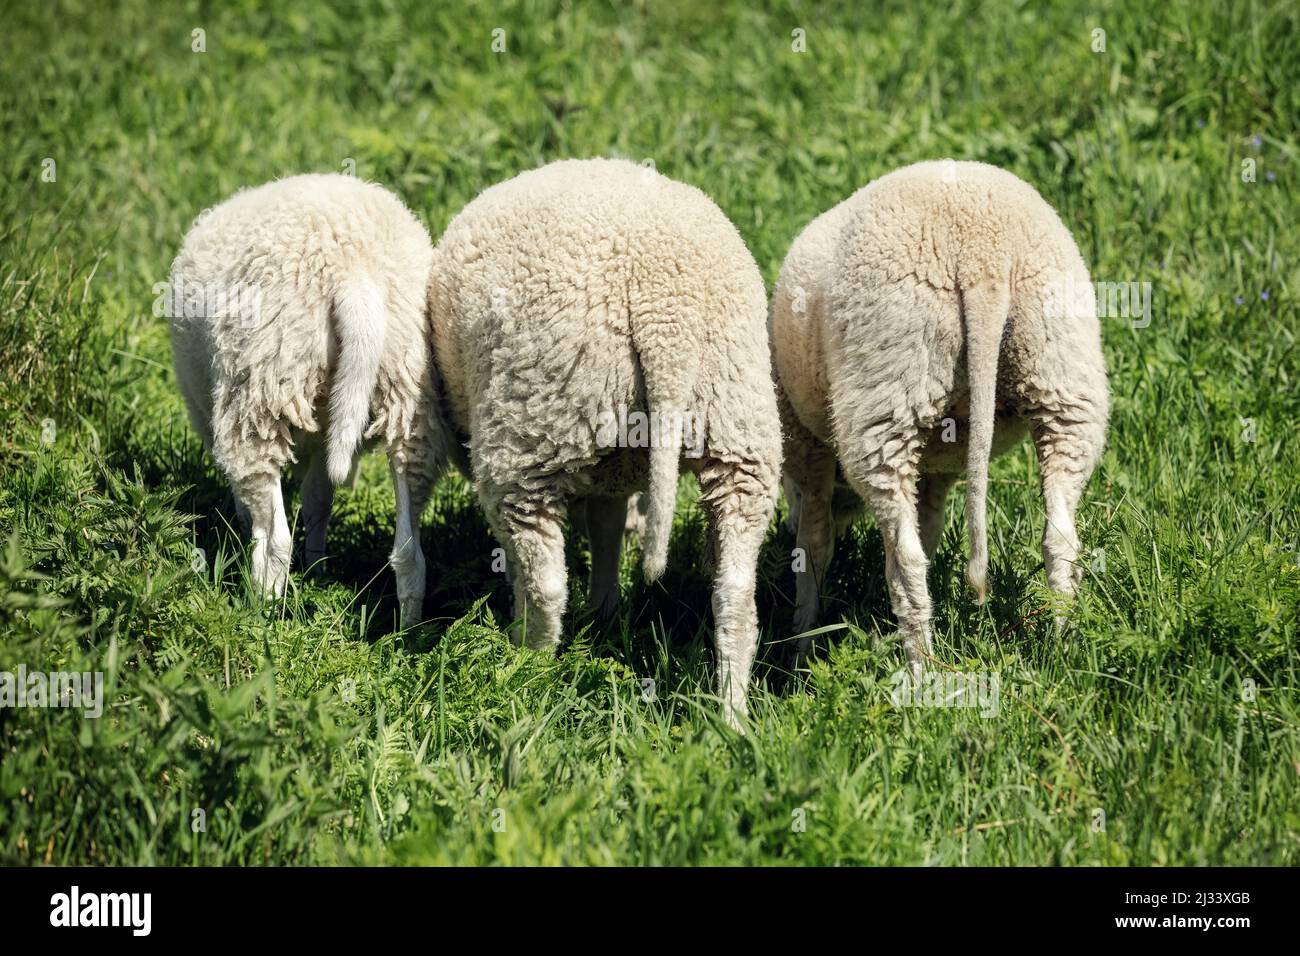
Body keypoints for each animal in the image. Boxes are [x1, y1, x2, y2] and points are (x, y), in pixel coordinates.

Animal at [167, 173, 449, 626]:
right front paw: (317, 566)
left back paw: (263, 618)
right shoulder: (322, 440)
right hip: (410, 392)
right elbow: (318, 501)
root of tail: (355, 275)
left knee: (274, 541)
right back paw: (407, 631)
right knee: (410, 552)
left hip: (264, 386)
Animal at [427, 158, 782, 727]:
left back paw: (526, 667)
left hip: (530, 428)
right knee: (735, 591)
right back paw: (731, 713)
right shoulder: (612, 471)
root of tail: (668, 313)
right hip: (739, 428)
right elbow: (608, 529)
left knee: (545, 578)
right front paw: (605, 608)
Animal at [771, 160, 1109, 675]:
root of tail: (981, 258)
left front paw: (800, 647)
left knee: (906, 561)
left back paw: (921, 668)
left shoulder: (809, 453)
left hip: (888, 387)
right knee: (1060, 534)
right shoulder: (937, 466)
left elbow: (814, 548)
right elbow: (927, 528)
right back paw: (1065, 643)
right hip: (1062, 375)